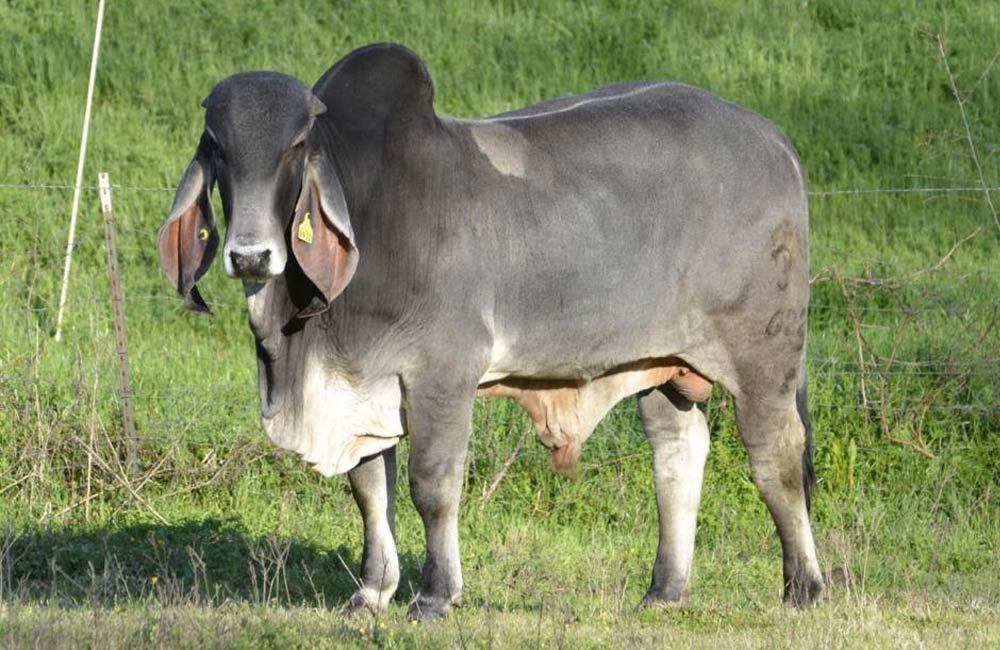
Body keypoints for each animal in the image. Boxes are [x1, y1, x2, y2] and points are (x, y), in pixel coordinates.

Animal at [158, 43, 823, 620]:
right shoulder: (363, 387)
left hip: (766, 355)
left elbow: (431, 484)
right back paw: (665, 591)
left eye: (296, 146)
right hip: (658, 366)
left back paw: (803, 588)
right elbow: (371, 489)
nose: (250, 256)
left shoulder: (442, 373)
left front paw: (434, 595)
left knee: (777, 456)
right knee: (678, 454)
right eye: (217, 146)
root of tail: (775, 139)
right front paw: (371, 592)